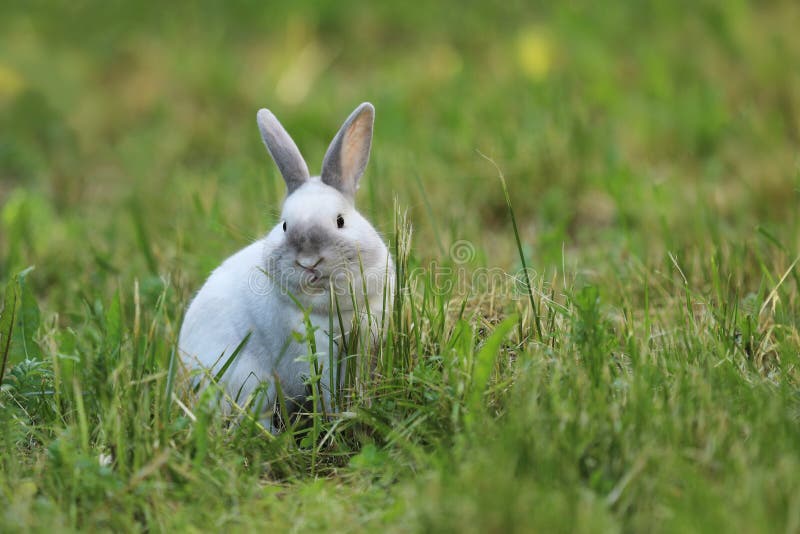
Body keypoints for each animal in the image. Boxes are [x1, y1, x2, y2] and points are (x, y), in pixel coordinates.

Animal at [178, 102, 393, 433]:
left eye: (340, 221)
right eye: (284, 226)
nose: (308, 262)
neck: (333, 308)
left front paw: (361, 407)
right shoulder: (319, 355)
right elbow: (329, 392)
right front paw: (339, 417)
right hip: (252, 383)